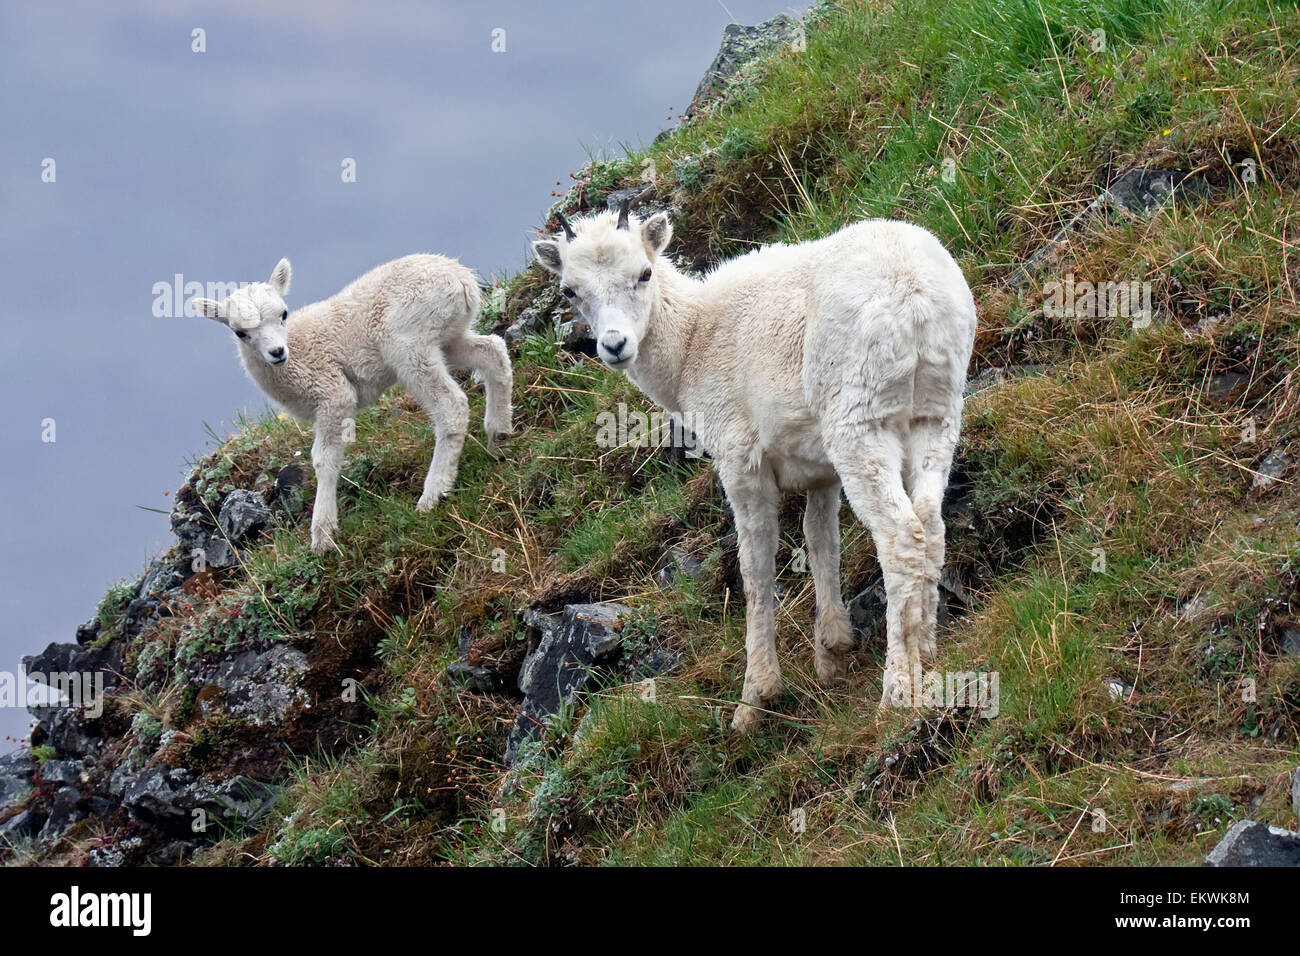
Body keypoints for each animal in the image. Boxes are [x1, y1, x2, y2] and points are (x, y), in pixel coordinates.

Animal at [191, 255, 513, 555]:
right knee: (493, 352)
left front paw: (322, 536)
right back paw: (499, 438)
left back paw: (433, 494)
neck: (294, 355)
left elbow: (323, 459)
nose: (277, 352)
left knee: (451, 404)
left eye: (283, 314)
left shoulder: (332, 395)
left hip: (409, 342)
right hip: (448, 337)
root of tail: (462, 280)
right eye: (240, 332)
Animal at [533, 203, 976, 730]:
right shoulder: (820, 471)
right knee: (931, 523)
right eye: (570, 291)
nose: (615, 345)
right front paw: (832, 653)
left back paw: (896, 690)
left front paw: (755, 699)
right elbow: (820, 541)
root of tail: (915, 298)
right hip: (936, 413)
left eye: (643, 273)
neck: (691, 343)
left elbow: (755, 566)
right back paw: (926, 650)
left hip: (860, 425)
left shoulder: (742, 463)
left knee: (901, 537)